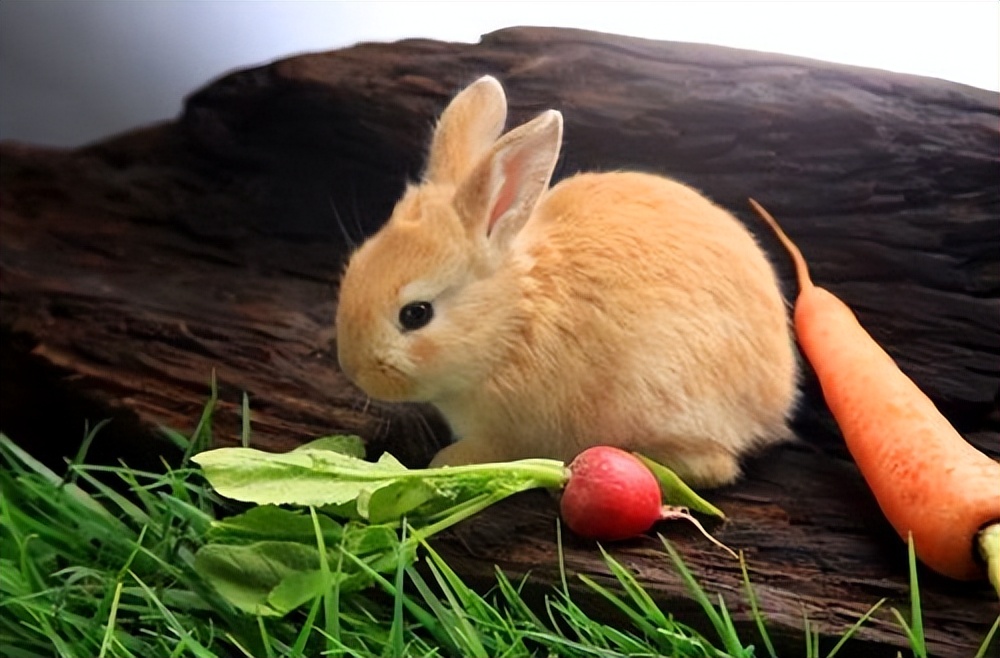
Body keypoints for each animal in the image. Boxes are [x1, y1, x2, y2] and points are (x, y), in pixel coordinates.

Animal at [335, 75, 799, 487]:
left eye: (416, 314)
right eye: (356, 264)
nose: (352, 369)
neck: (514, 323)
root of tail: (776, 396)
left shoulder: (510, 431)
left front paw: (445, 461)